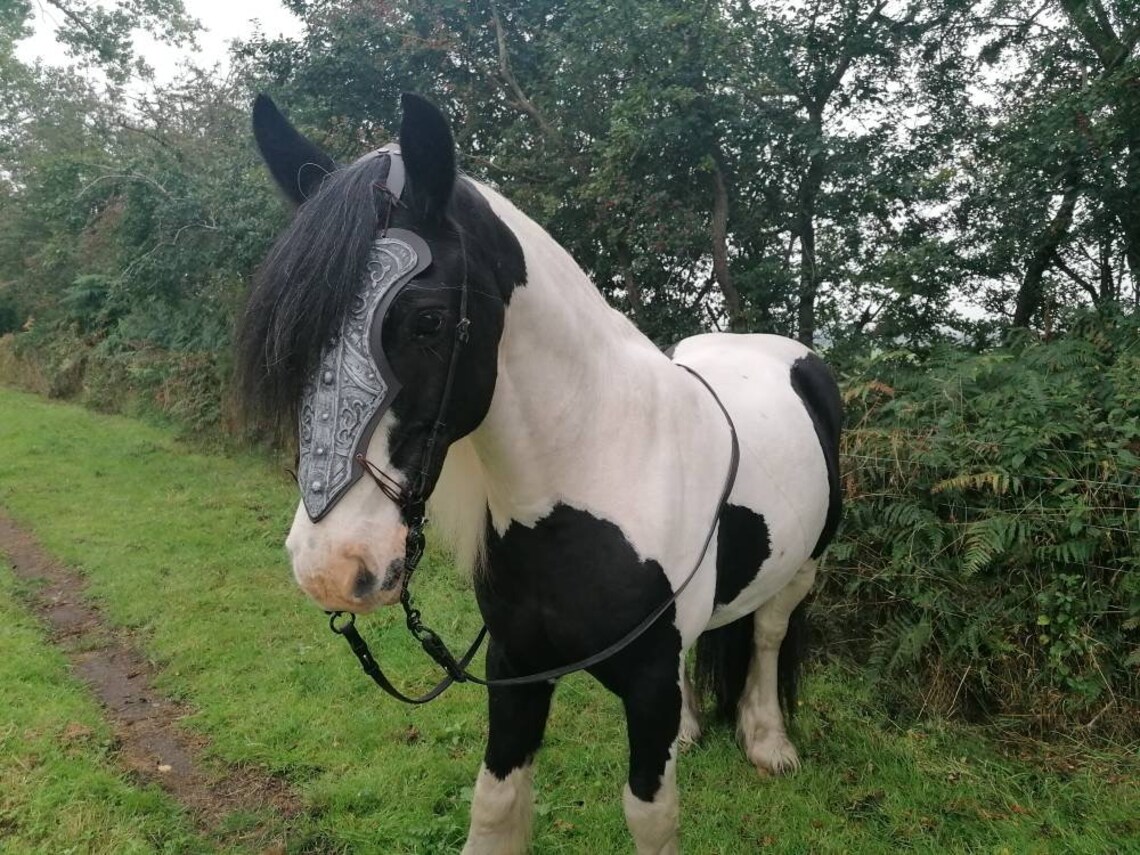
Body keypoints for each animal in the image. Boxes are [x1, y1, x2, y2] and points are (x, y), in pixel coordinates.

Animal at [238, 92, 842, 855]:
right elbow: (496, 803)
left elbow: (650, 814)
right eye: (294, 332)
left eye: (429, 320)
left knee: (767, 633)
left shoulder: (646, 686)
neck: (591, 481)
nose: (328, 566)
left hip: (805, 564)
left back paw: (768, 741)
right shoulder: (515, 666)